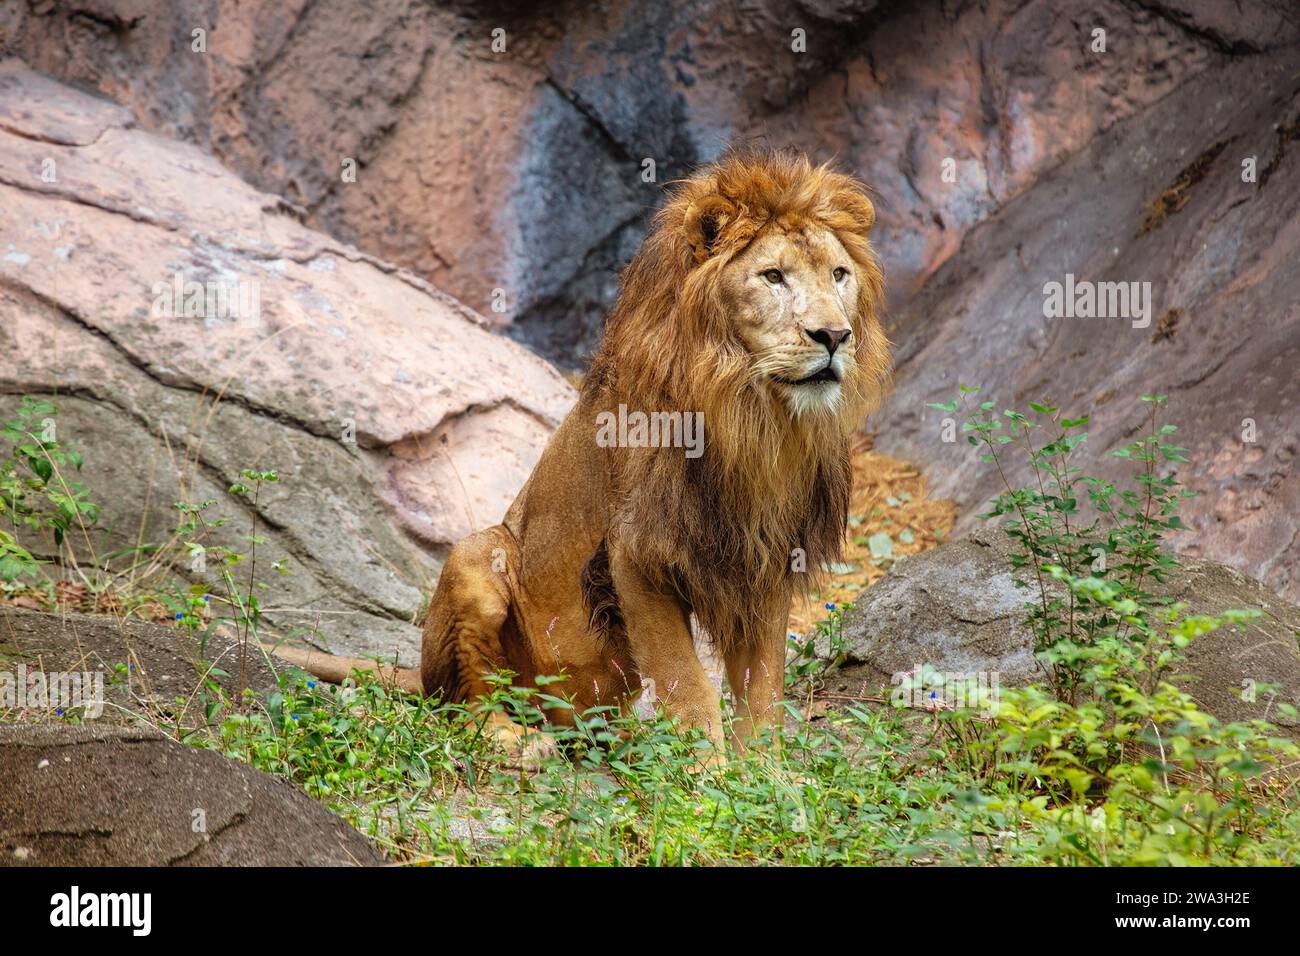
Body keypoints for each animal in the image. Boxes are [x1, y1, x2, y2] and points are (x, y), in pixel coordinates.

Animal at [275, 150, 891, 765]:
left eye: (839, 275)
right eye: (773, 276)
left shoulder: (768, 553)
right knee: (467, 699)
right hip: (478, 558)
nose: (834, 335)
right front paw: (707, 771)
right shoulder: (637, 552)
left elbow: (763, 685)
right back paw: (518, 740)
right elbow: (684, 677)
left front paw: (765, 775)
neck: (755, 416)